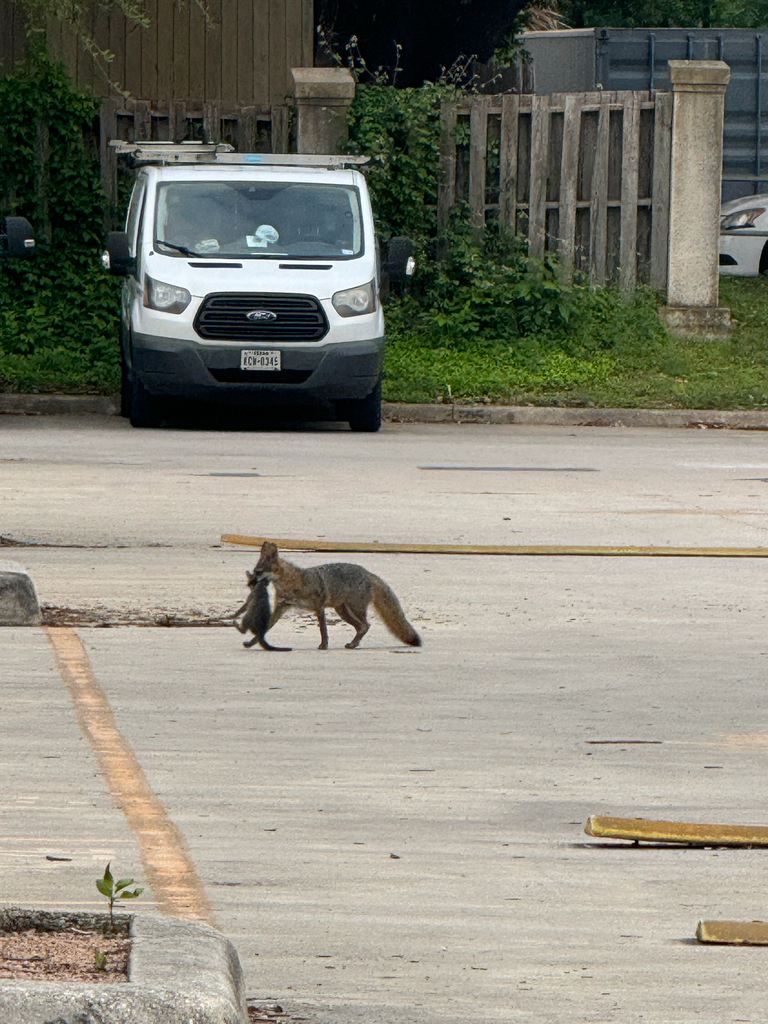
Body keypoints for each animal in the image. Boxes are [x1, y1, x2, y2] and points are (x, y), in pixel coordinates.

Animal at [251, 540, 422, 650]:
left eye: (258, 572)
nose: (251, 582)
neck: (292, 582)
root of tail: (367, 572)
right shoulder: (281, 607)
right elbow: (265, 628)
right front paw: (251, 642)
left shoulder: (318, 606)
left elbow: (323, 630)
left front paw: (324, 646)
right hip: (343, 612)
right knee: (361, 627)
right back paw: (353, 644)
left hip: (353, 610)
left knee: (366, 625)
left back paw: (353, 644)